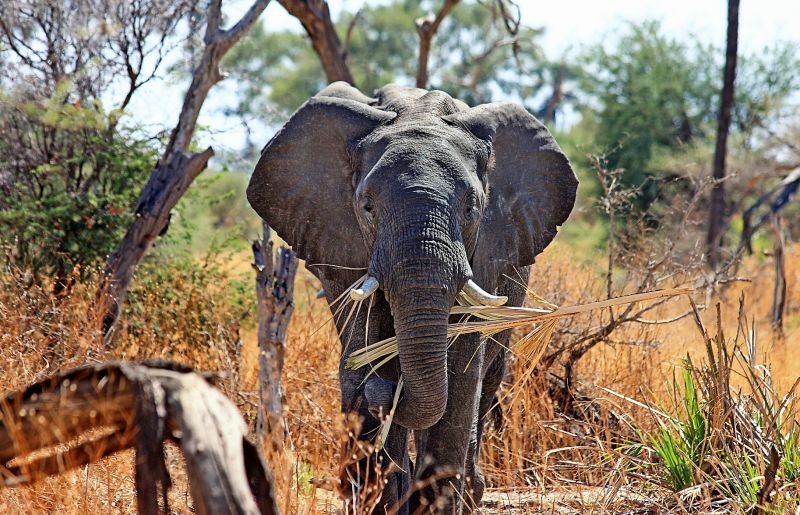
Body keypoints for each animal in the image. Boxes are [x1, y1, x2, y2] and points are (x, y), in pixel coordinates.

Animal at [247, 81, 577, 513]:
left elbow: (460, 372)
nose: (382, 395)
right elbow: (366, 345)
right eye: (367, 206)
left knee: (487, 381)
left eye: (471, 208)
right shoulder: (346, 248)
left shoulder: (486, 252)